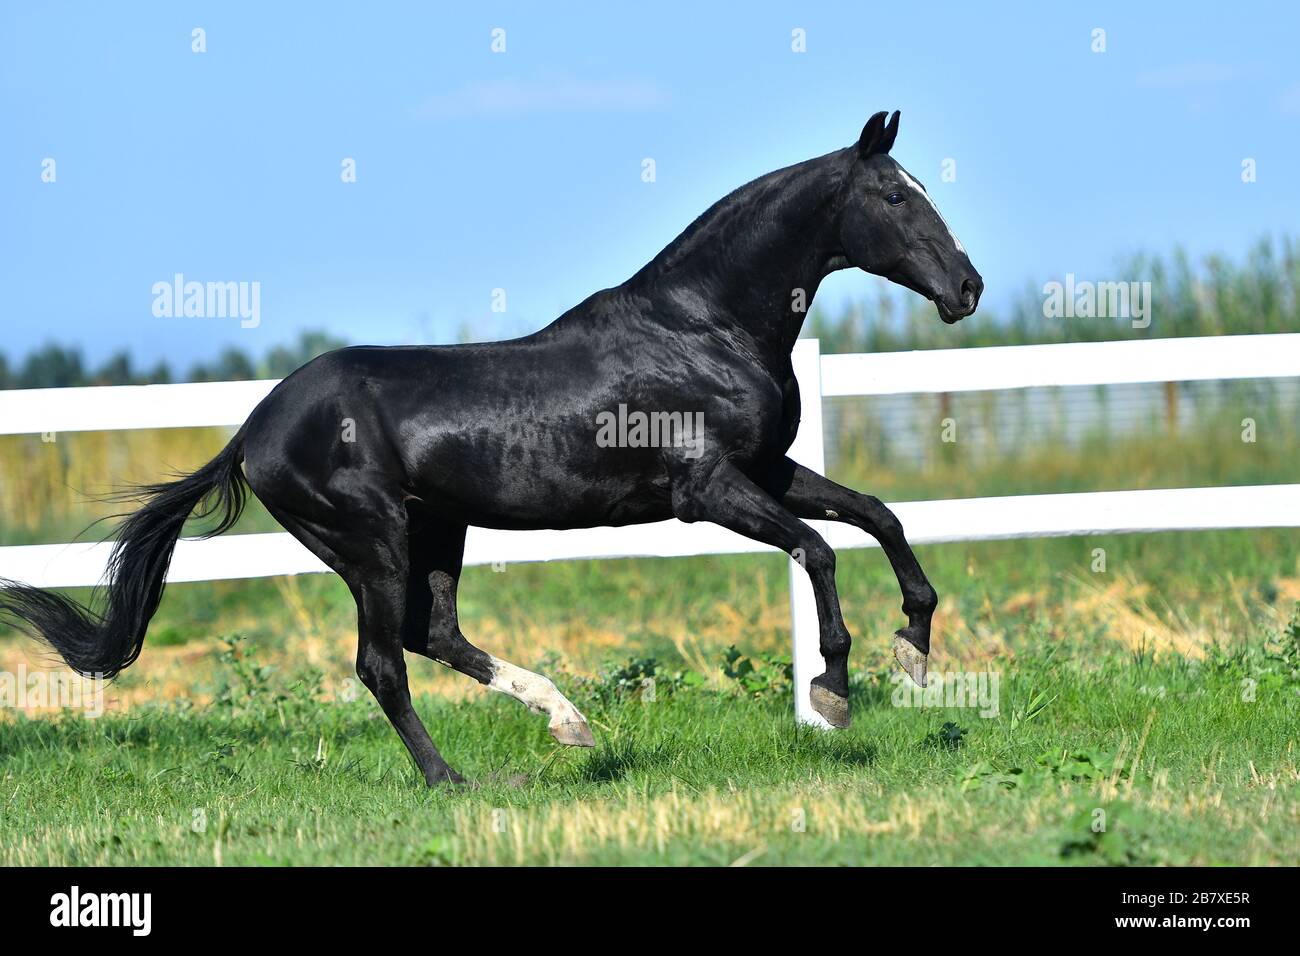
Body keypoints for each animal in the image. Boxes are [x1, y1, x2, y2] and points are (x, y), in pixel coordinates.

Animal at [1, 111, 981, 785]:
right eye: (896, 196)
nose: (966, 288)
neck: (703, 328)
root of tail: (253, 428)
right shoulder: (705, 490)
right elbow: (818, 548)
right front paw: (836, 690)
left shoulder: (766, 469)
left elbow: (878, 516)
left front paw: (915, 644)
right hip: (369, 540)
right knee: (383, 663)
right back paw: (453, 778)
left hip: (437, 530)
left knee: (435, 634)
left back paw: (568, 722)